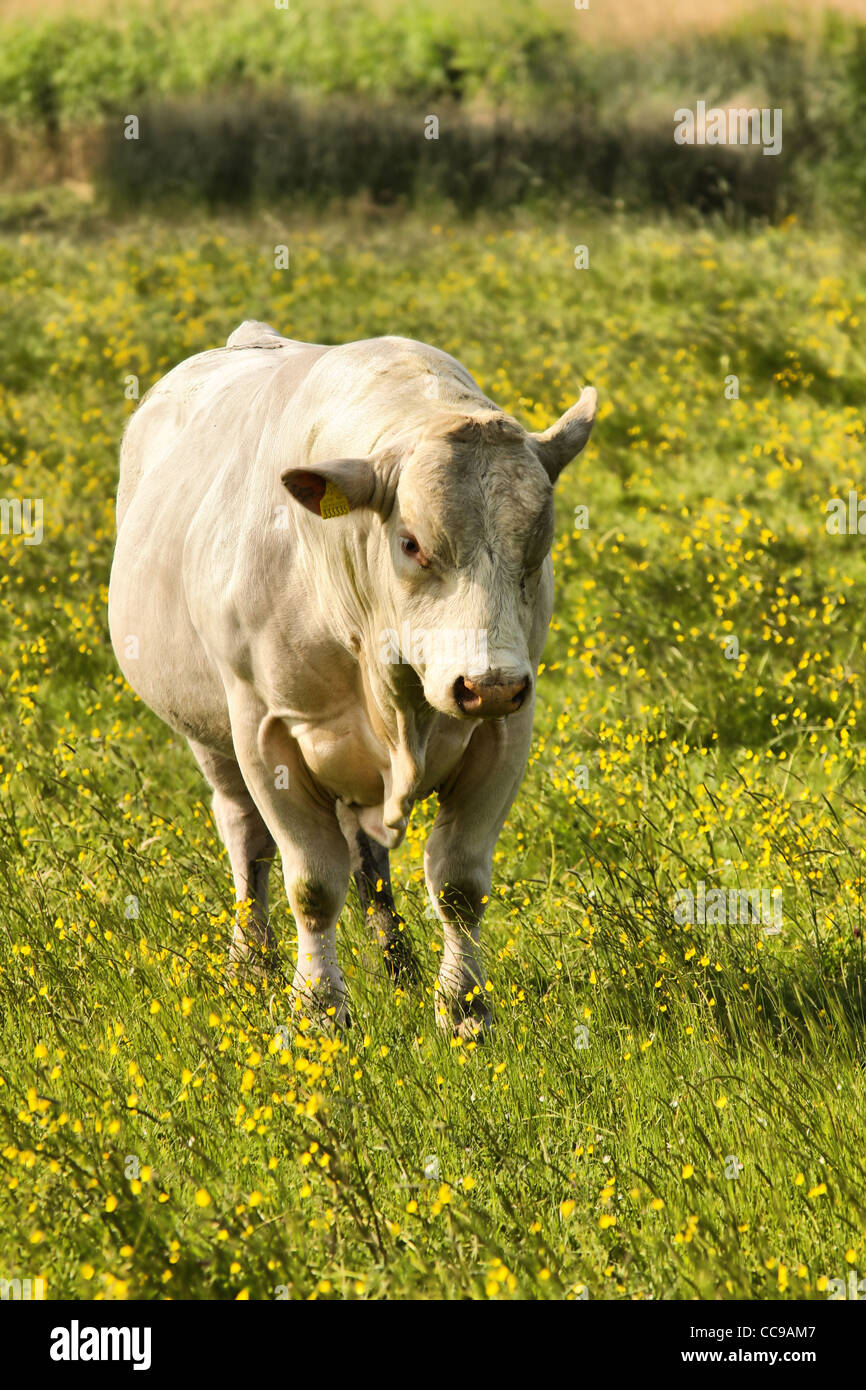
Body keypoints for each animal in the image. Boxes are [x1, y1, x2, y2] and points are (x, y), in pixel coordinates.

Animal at [108, 322, 596, 1037]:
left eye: (538, 545)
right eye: (412, 544)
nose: (488, 684)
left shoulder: (506, 732)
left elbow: (459, 885)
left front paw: (463, 1009)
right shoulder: (265, 732)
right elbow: (311, 883)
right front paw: (317, 1009)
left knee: (368, 858)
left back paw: (397, 963)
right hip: (210, 734)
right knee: (247, 843)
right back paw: (248, 964)